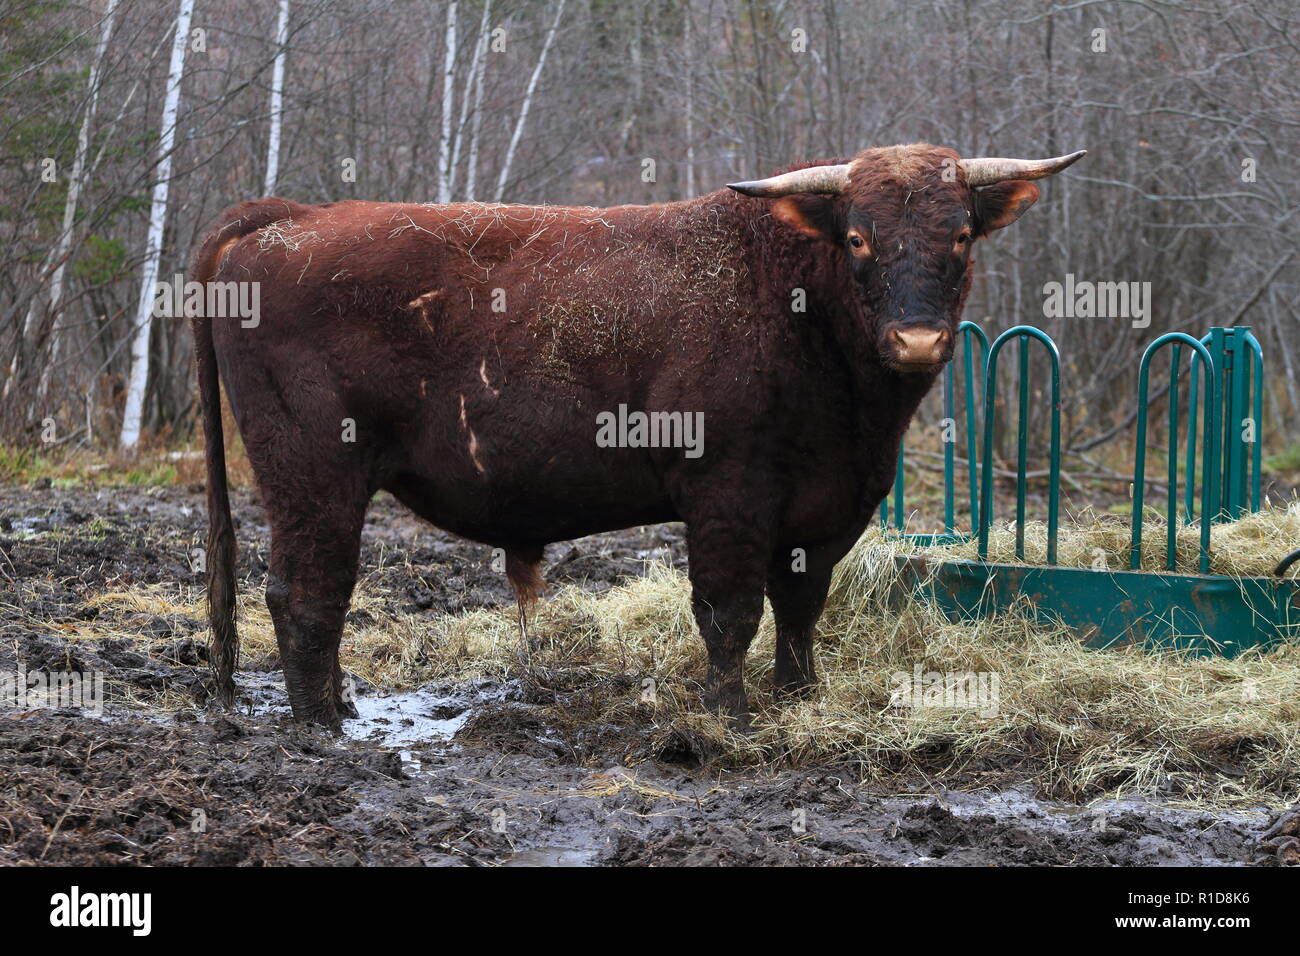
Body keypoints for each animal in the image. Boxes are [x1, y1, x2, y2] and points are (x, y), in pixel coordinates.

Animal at [190, 143, 1084, 729]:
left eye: (959, 235)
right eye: (858, 237)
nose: (918, 341)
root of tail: (292, 216)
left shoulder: (831, 503)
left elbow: (801, 606)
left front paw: (800, 698)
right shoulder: (728, 490)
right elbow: (729, 611)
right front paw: (727, 715)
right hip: (313, 473)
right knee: (305, 592)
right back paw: (322, 726)